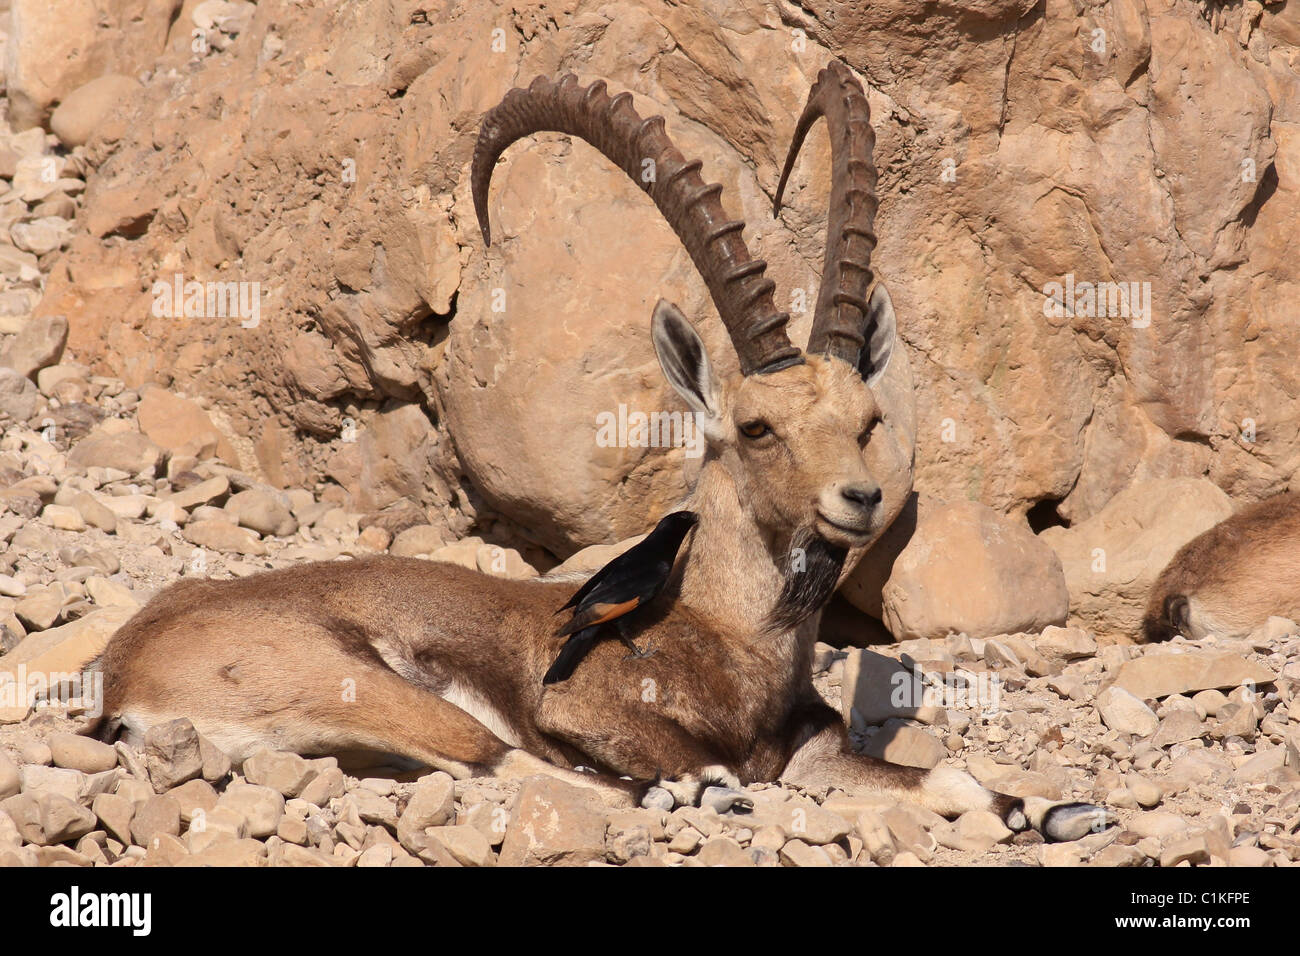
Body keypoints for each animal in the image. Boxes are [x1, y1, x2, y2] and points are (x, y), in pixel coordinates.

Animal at [90, 64, 1108, 842]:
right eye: (757, 427)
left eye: (867, 419)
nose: (858, 501)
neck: (730, 636)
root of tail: (127, 671)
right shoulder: (581, 710)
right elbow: (663, 765)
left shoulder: (811, 749)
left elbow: (954, 780)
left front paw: (1061, 812)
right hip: (367, 690)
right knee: (504, 762)